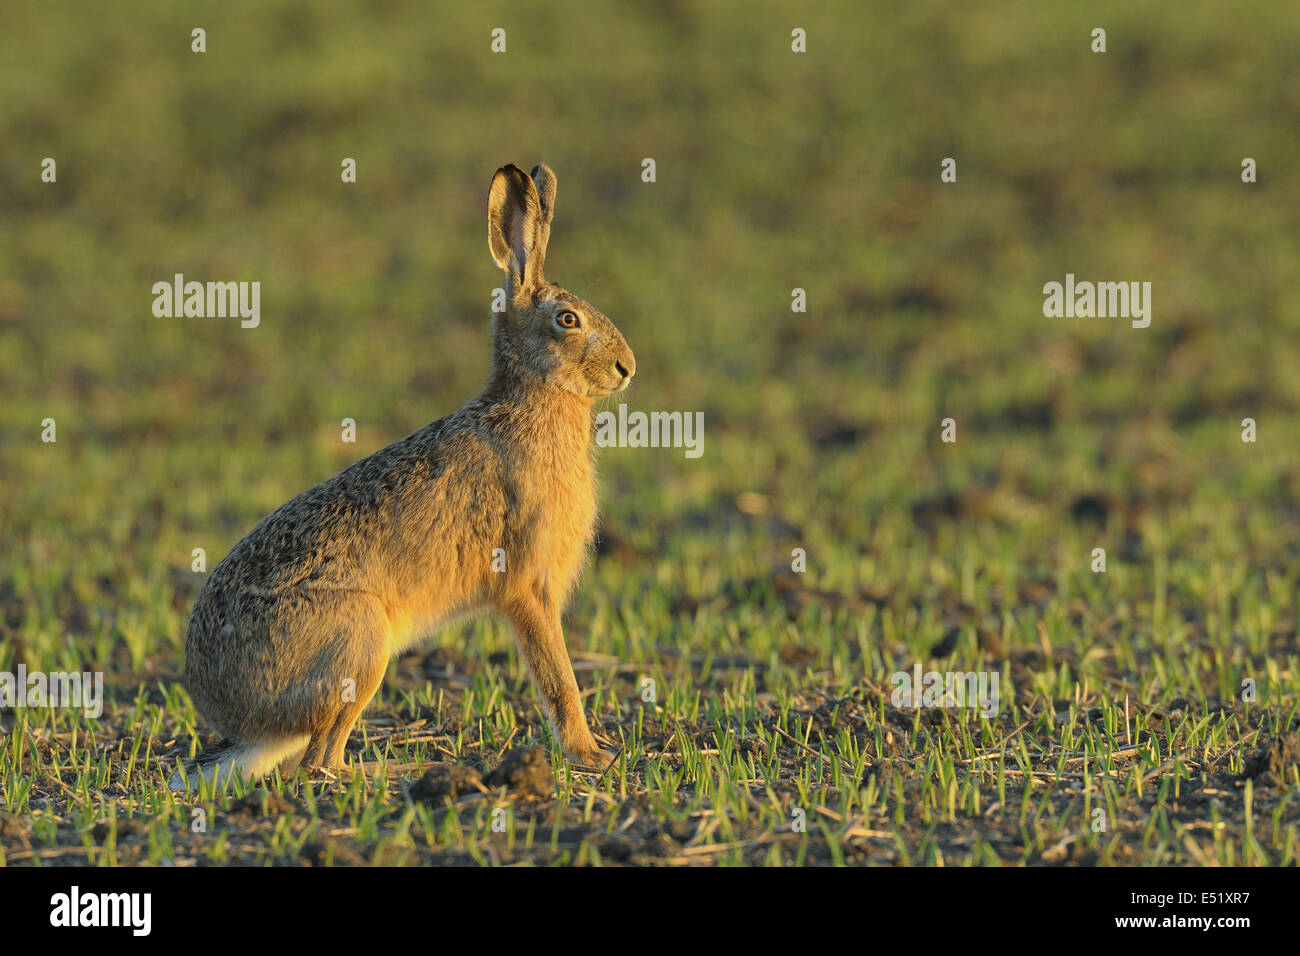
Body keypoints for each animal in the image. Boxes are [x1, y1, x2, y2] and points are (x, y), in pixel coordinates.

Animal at [170, 163, 635, 789]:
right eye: (568, 320)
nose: (628, 367)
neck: (534, 399)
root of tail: (244, 724)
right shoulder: (526, 586)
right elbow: (559, 681)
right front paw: (593, 755)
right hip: (362, 642)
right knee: (320, 763)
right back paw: (407, 769)